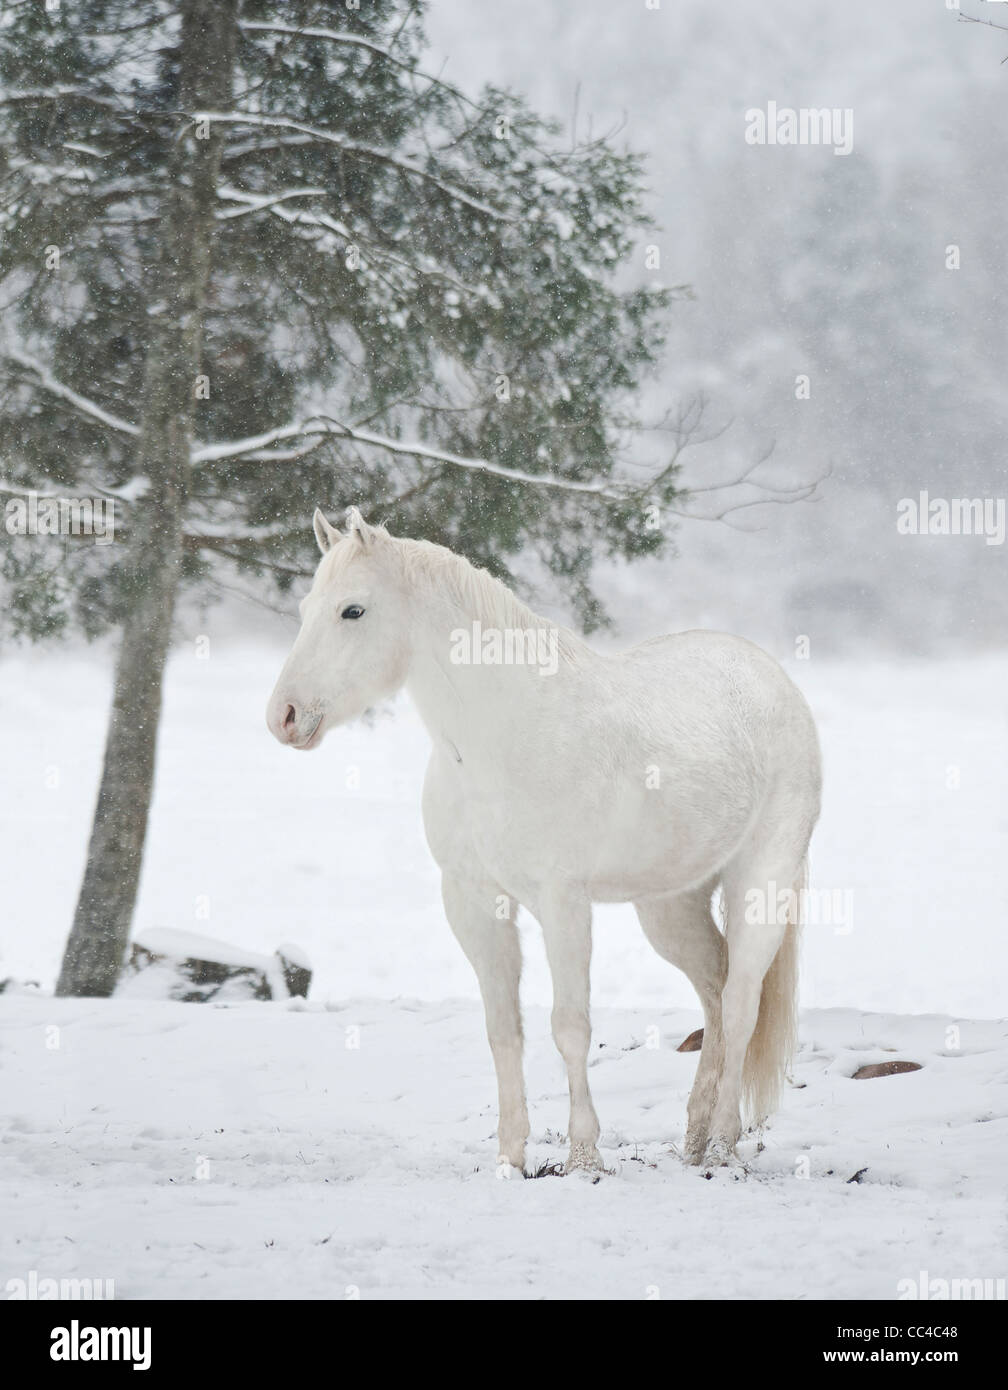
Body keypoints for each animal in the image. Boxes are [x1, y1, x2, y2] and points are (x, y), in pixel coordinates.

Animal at [267, 507, 822, 1173]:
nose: (284, 717)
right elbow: (503, 1028)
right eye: (306, 608)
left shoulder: (564, 904)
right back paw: (692, 1139)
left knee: (740, 1006)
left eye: (353, 610)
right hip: (669, 906)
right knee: (715, 992)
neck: (498, 737)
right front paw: (511, 1159)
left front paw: (584, 1156)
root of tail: (770, 677)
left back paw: (721, 1146)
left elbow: (570, 1026)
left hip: (760, 881)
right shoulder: (473, 902)